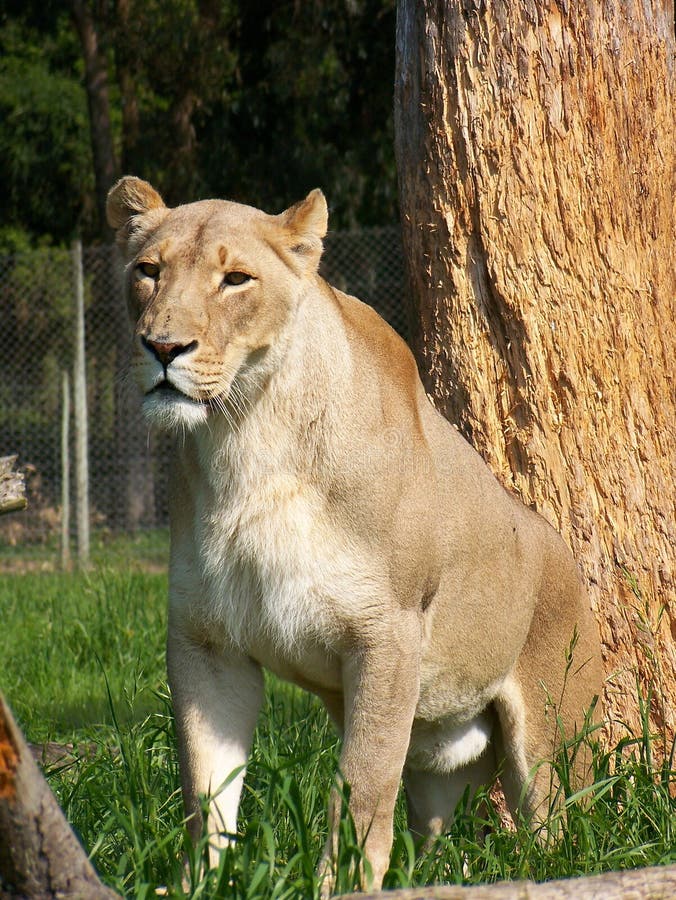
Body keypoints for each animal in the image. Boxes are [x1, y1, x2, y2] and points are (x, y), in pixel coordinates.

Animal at [106, 176, 603, 892]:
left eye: (236, 279)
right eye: (148, 271)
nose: (164, 349)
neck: (246, 438)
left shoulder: (387, 634)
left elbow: (362, 784)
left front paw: (340, 886)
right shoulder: (207, 641)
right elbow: (206, 791)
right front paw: (199, 884)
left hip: (550, 738)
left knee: (554, 828)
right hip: (438, 760)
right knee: (432, 827)